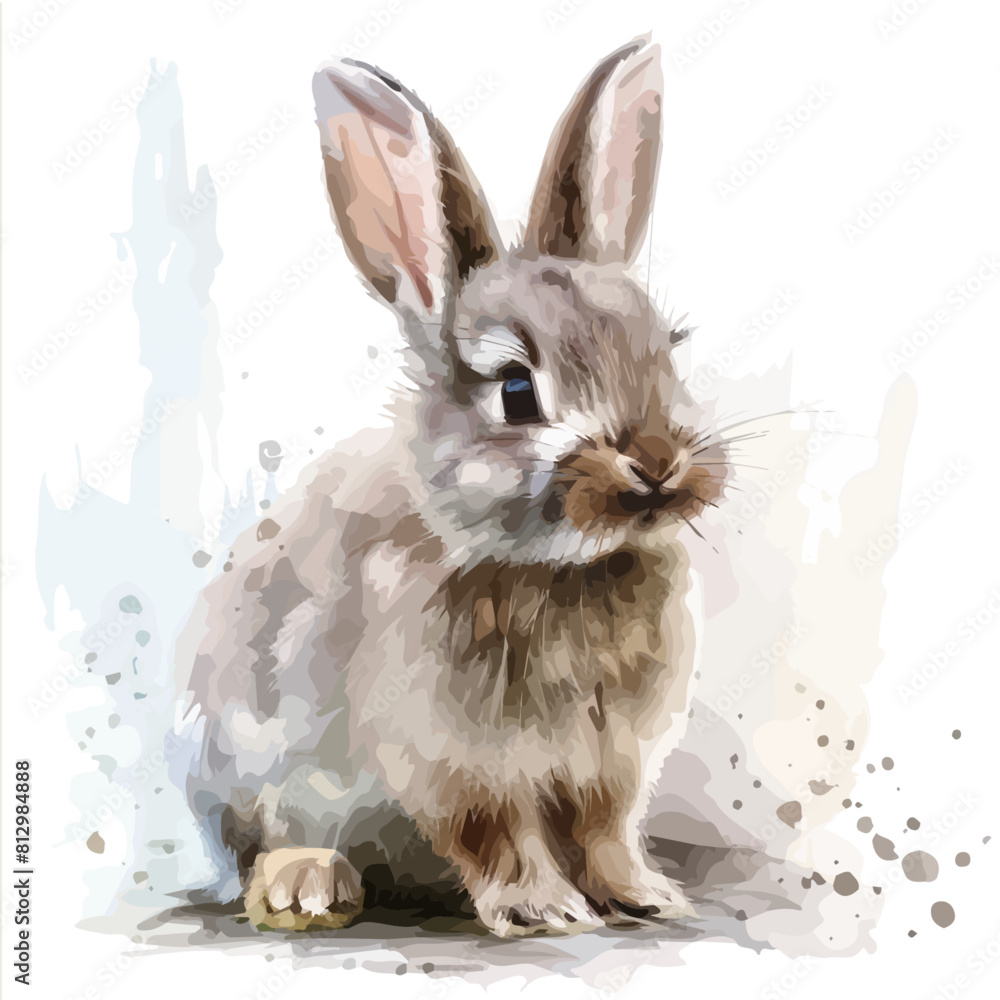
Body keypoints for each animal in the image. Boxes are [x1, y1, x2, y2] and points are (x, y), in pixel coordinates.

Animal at [176, 35, 731, 938]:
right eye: (516, 390)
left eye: (666, 351)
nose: (655, 465)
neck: (562, 568)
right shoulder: (453, 762)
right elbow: (496, 834)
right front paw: (543, 908)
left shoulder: (608, 768)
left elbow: (606, 831)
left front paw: (642, 894)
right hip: (240, 756)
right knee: (264, 841)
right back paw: (308, 885)